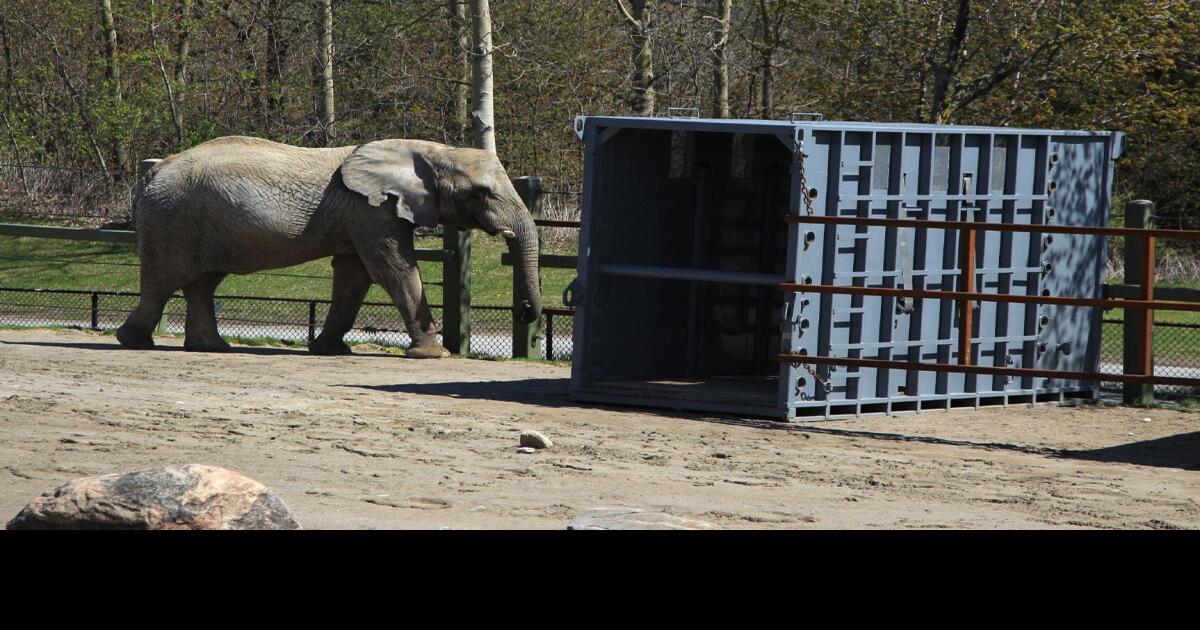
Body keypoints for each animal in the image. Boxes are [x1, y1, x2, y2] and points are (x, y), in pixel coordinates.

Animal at [115, 135, 542, 358]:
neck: (430, 150)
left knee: (202, 283)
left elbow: (354, 277)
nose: (524, 314)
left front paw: (329, 350)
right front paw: (431, 355)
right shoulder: (371, 210)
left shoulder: (363, 215)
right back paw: (133, 342)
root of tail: (150, 172)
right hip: (172, 219)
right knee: (164, 282)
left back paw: (212, 347)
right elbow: (392, 270)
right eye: (482, 193)